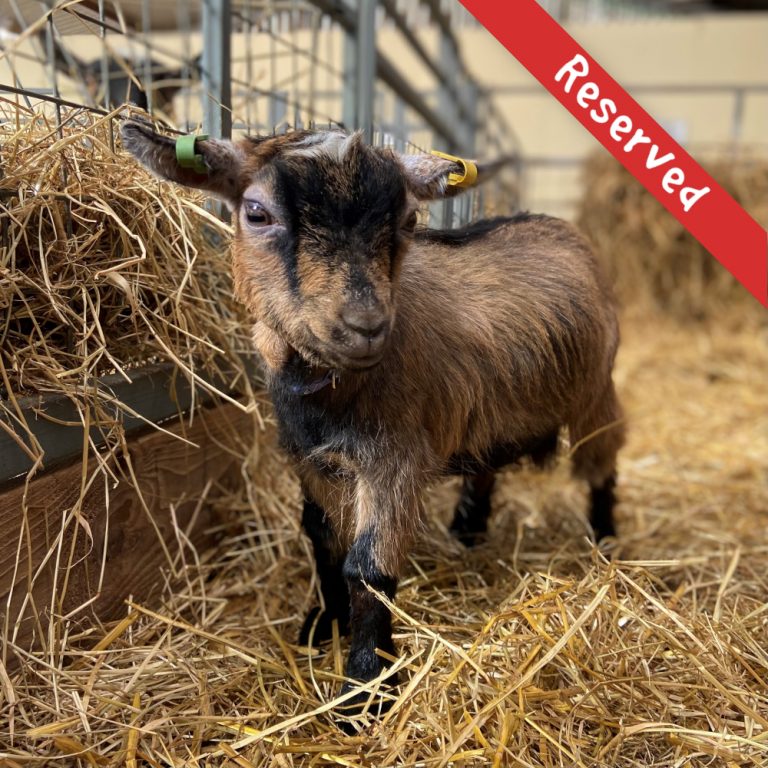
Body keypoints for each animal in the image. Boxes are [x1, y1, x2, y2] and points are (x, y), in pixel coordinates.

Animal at [121, 122, 625, 725]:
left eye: (407, 220)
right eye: (257, 213)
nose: (364, 325)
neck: (329, 392)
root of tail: (553, 223)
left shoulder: (394, 457)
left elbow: (368, 567)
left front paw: (365, 690)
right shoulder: (311, 458)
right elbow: (321, 538)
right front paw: (320, 625)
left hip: (597, 391)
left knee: (602, 464)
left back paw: (605, 539)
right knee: (485, 465)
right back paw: (468, 531)